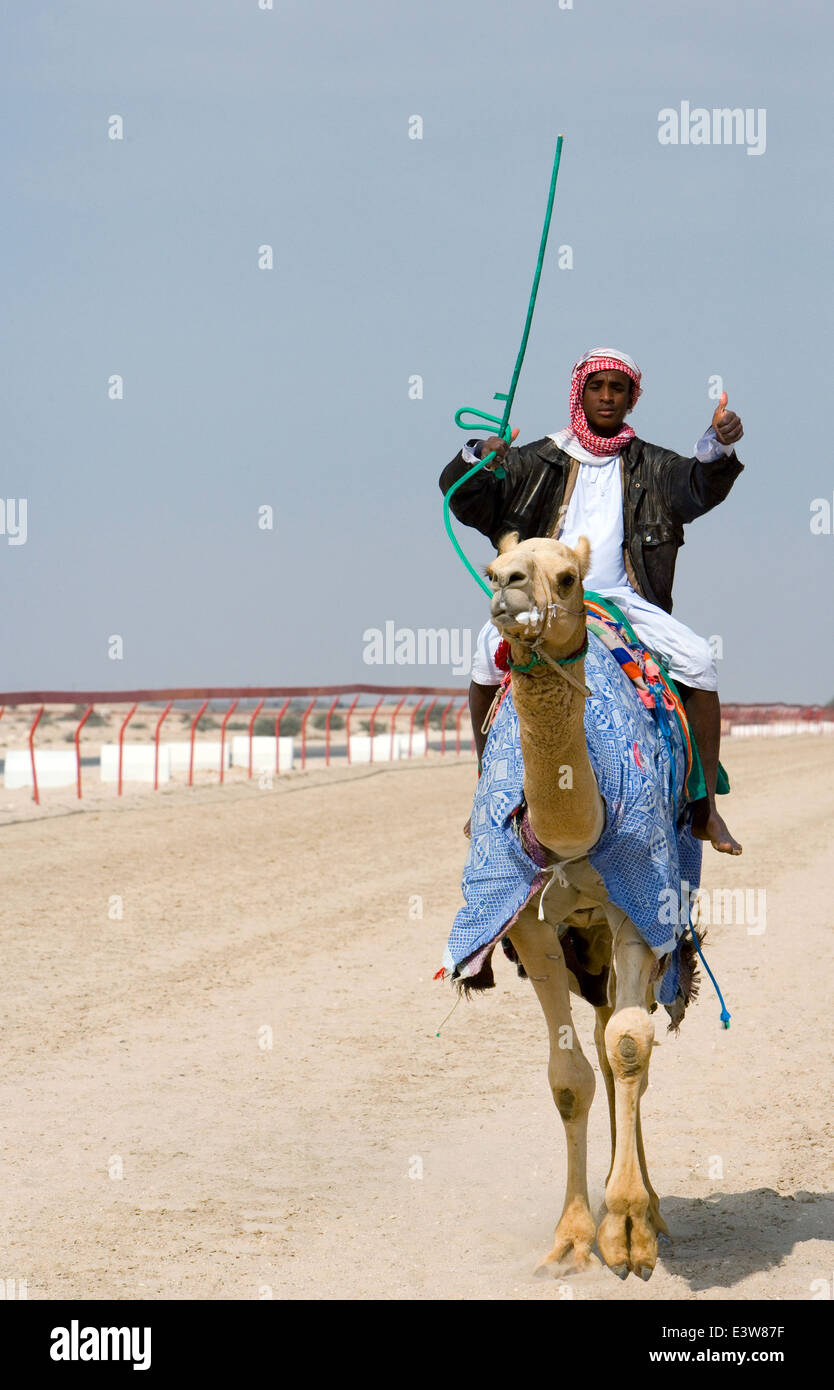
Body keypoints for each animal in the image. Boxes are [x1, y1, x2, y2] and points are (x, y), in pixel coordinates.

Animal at [482, 530, 694, 1282]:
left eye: (567, 577)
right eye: (493, 568)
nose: (510, 586)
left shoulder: (636, 911)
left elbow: (631, 1048)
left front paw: (630, 1233)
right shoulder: (532, 928)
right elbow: (569, 1078)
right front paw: (574, 1238)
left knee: (627, 1048)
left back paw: (650, 1210)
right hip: (585, 946)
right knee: (600, 1048)